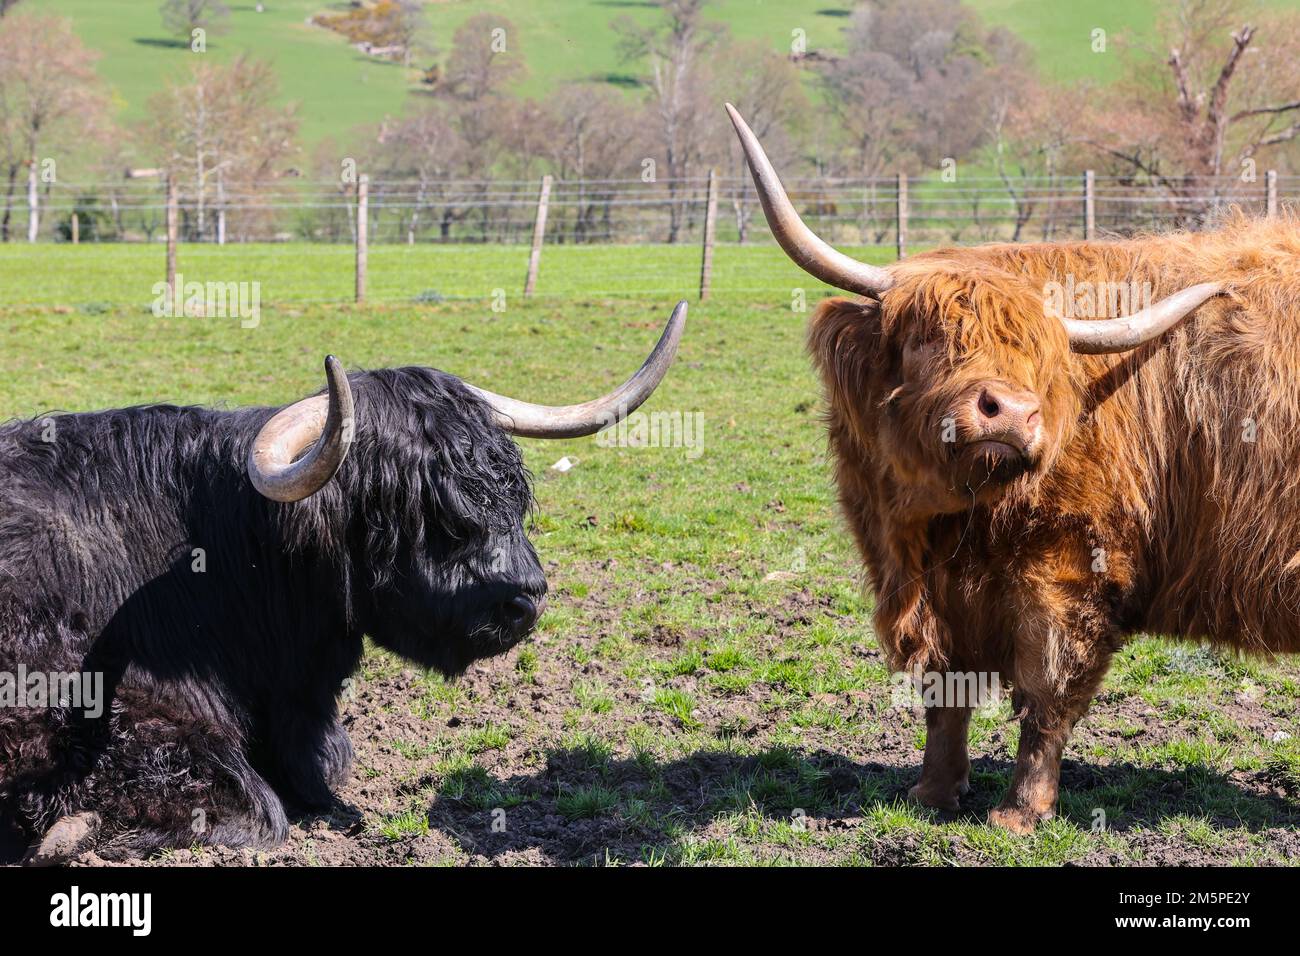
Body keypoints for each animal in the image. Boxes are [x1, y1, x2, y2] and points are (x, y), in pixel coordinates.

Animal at [0, 302, 685, 862]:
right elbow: (251, 806)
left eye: (510, 489)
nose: (524, 598)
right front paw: (73, 830)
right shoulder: (131, 713)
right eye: (415, 508)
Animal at [727, 102, 1297, 832]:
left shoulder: (1070, 570)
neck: (953, 527)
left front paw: (1020, 812)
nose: (1012, 413)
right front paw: (932, 793)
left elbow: (1048, 697)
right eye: (929, 339)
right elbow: (945, 692)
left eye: (1035, 358)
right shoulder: (929, 590)